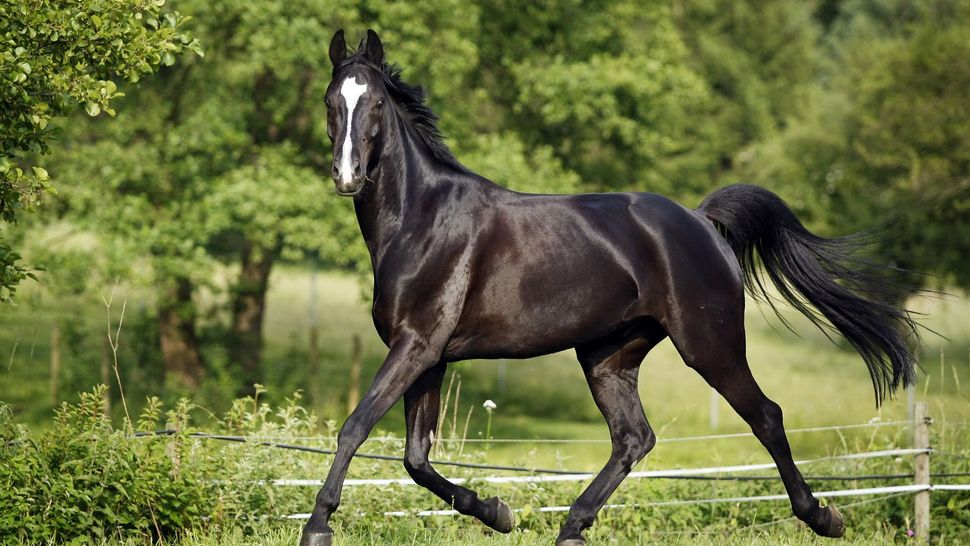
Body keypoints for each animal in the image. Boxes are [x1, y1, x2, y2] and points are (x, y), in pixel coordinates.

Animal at [300, 29, 918, 546]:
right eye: (331, 102)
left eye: (377, 104)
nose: (348, 176)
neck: (422, 219)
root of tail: (700, 220)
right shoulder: (430, 355)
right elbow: (415, 457)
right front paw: (498, 512)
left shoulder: (417, 345)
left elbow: (356, 428)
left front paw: (318, 526)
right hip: (608, 355)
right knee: (634, 438)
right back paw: (572, 526)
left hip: (709, 345)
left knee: (765, 416)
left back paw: (825, 517)